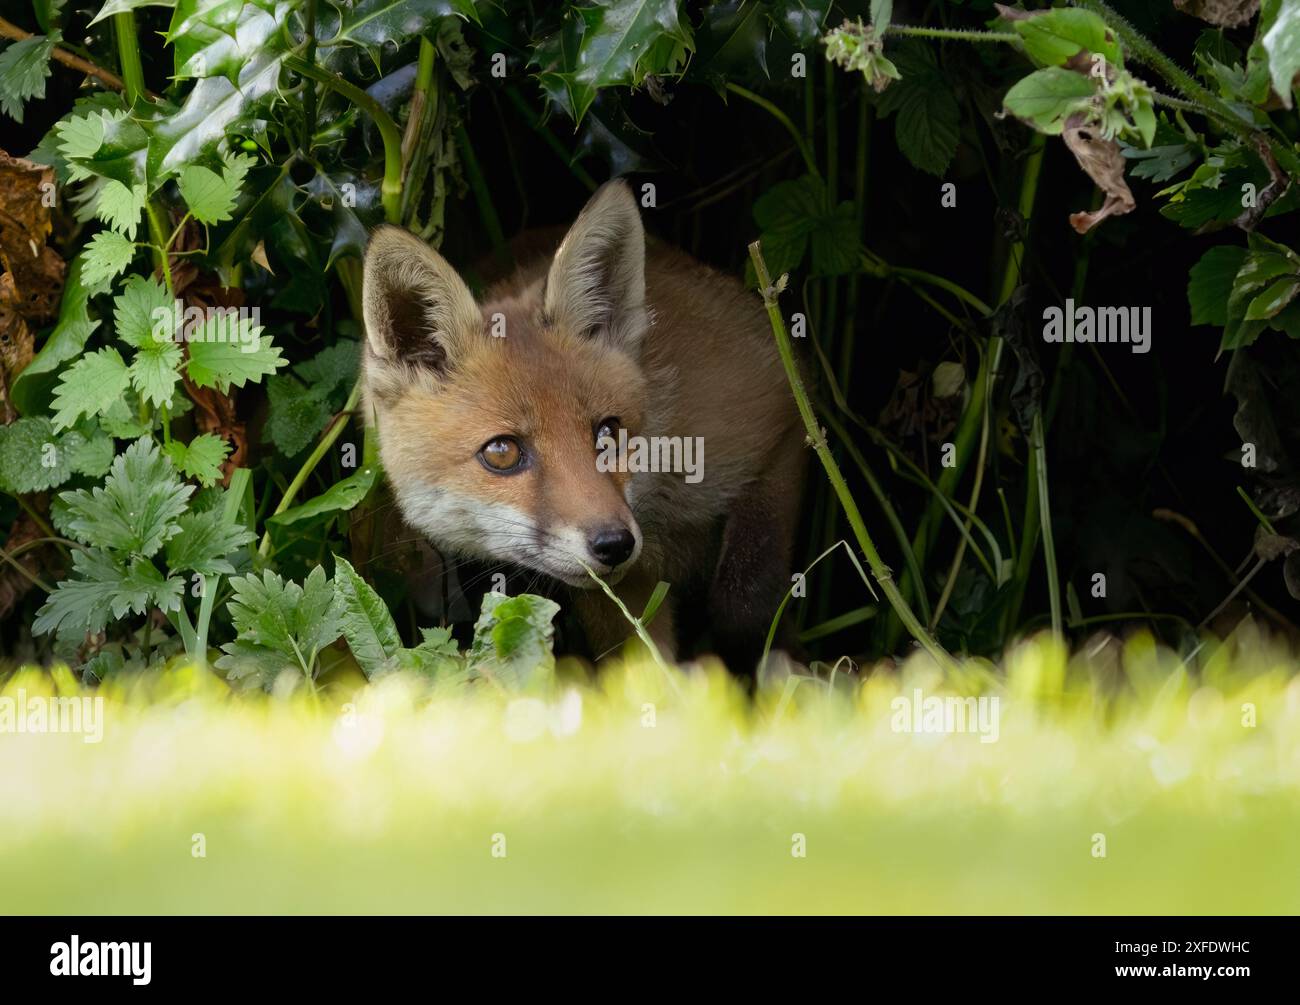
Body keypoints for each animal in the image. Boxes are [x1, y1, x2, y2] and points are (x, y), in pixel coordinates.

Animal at [360, 179, 806, 671]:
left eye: (609, 432)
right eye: (501, 452)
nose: (614, 544)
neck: (660, 500)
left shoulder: (783, 415)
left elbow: (745, 595)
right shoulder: (619, 591)